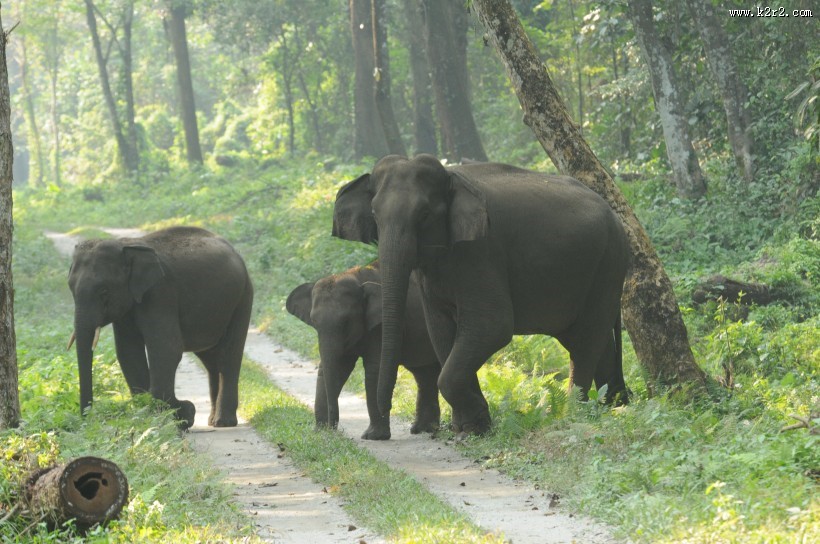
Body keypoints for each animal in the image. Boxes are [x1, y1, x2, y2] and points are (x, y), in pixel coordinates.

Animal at [67, 226, 254, 429]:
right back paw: (212, 420)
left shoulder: (160, 293)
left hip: (243, 298)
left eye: (103, 292)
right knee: (211, 359)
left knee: (229, 355)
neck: (125, 247)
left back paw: (223, 422)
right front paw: (156, 415)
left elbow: (166, 349)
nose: (86, 420)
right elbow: (128, 352)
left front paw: (179, 415)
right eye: (70, 289)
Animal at [286, 261, 441, 440]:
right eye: (314, 322)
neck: (357, 278)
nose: (333, 429)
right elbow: (337, 368)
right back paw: (423, 430)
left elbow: (374, 370)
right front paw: (320, 432)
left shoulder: (380, 326)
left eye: (346, 321)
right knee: (425, 373)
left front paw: (374, 437)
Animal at [332, 154, 630, 436]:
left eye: (425, 214)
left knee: (586, 340)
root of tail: (616, 217)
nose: (386, 414)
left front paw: (474, 428)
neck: (451, 175)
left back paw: (575, 413)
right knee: (591, 339)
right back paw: (612, 407)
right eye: (374, 214)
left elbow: (492, 326)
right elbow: (440, 331)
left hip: (608, 266)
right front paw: (468, 426)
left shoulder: (481, 251)